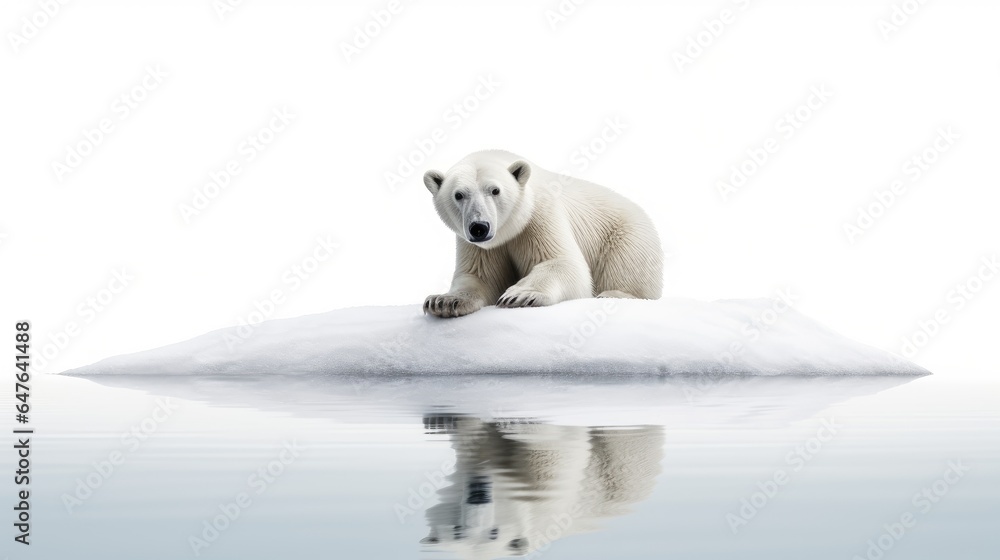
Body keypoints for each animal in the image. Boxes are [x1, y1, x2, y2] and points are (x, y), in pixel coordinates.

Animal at [419, 415, 664, 558]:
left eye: (494, 533)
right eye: (457, 531)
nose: (478, 496)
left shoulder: (552, 491)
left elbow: (552, 453)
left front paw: (517, 423)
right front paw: (439, 421)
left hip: (624, 458)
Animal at [423, 150, 663, 318]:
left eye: (495, 190)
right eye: (459, 195)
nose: (479, 227)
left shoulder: (540, 216)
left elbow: (562, 262)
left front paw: (519, 295)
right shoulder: (477, 245)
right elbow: (479, 275)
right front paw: (443, 301)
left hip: (626, 235)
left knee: (627, 266)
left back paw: (614, 293)